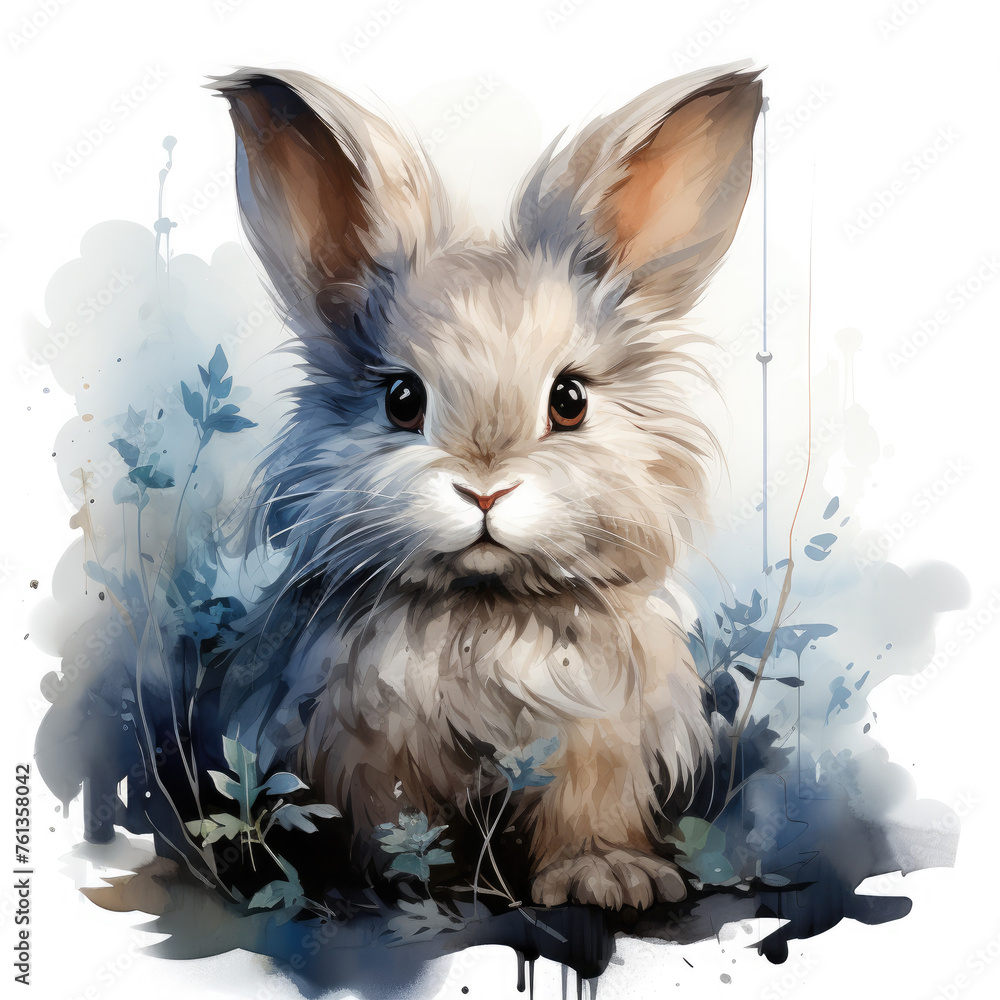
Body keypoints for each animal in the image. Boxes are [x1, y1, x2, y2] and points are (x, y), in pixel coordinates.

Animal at [214, 62, 761, 910]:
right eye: (402, 399)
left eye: (570, 399)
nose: (485, 493)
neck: (487, 603)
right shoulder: (366, 739)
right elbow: (397, 819)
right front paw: (420, 881)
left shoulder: (599, 728)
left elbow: (590, 805)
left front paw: (613, 878)